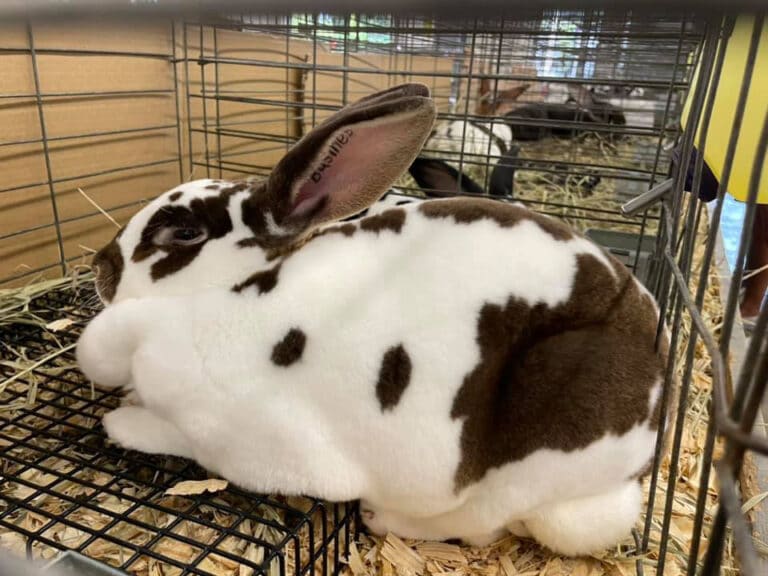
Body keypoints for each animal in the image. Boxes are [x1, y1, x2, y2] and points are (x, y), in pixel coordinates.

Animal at [77, 83, 669, 556]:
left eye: (183, 234)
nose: (100, 267)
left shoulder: (248, 443)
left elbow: (175, 438)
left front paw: (122, 423)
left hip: (530, 453)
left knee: (481, 522)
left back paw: (384, 517)